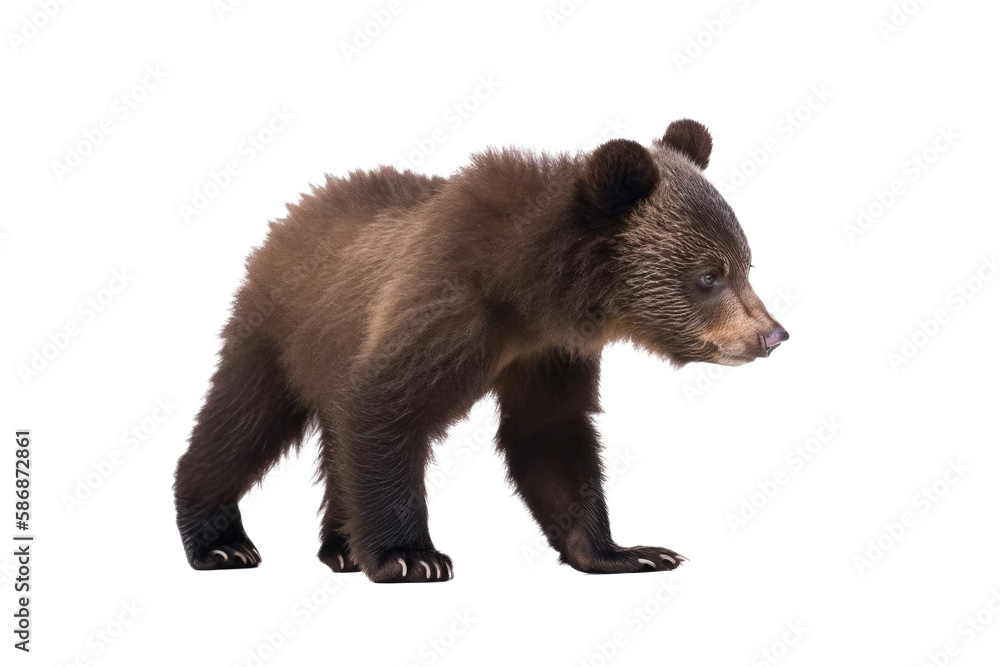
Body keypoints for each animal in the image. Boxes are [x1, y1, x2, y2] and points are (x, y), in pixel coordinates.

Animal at [173, 119, 788, 583]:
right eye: (709, 275)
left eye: (746, 263)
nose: (772, 334)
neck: (525, 290)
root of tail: (294, 211)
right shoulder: (447, 307)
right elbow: (385, 407)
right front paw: (411, 556)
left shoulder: (549, 353)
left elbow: (552, 435)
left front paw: (628, 551)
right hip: (278, 326)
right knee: (243, 420)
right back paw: (221, 542)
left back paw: (342, 547)